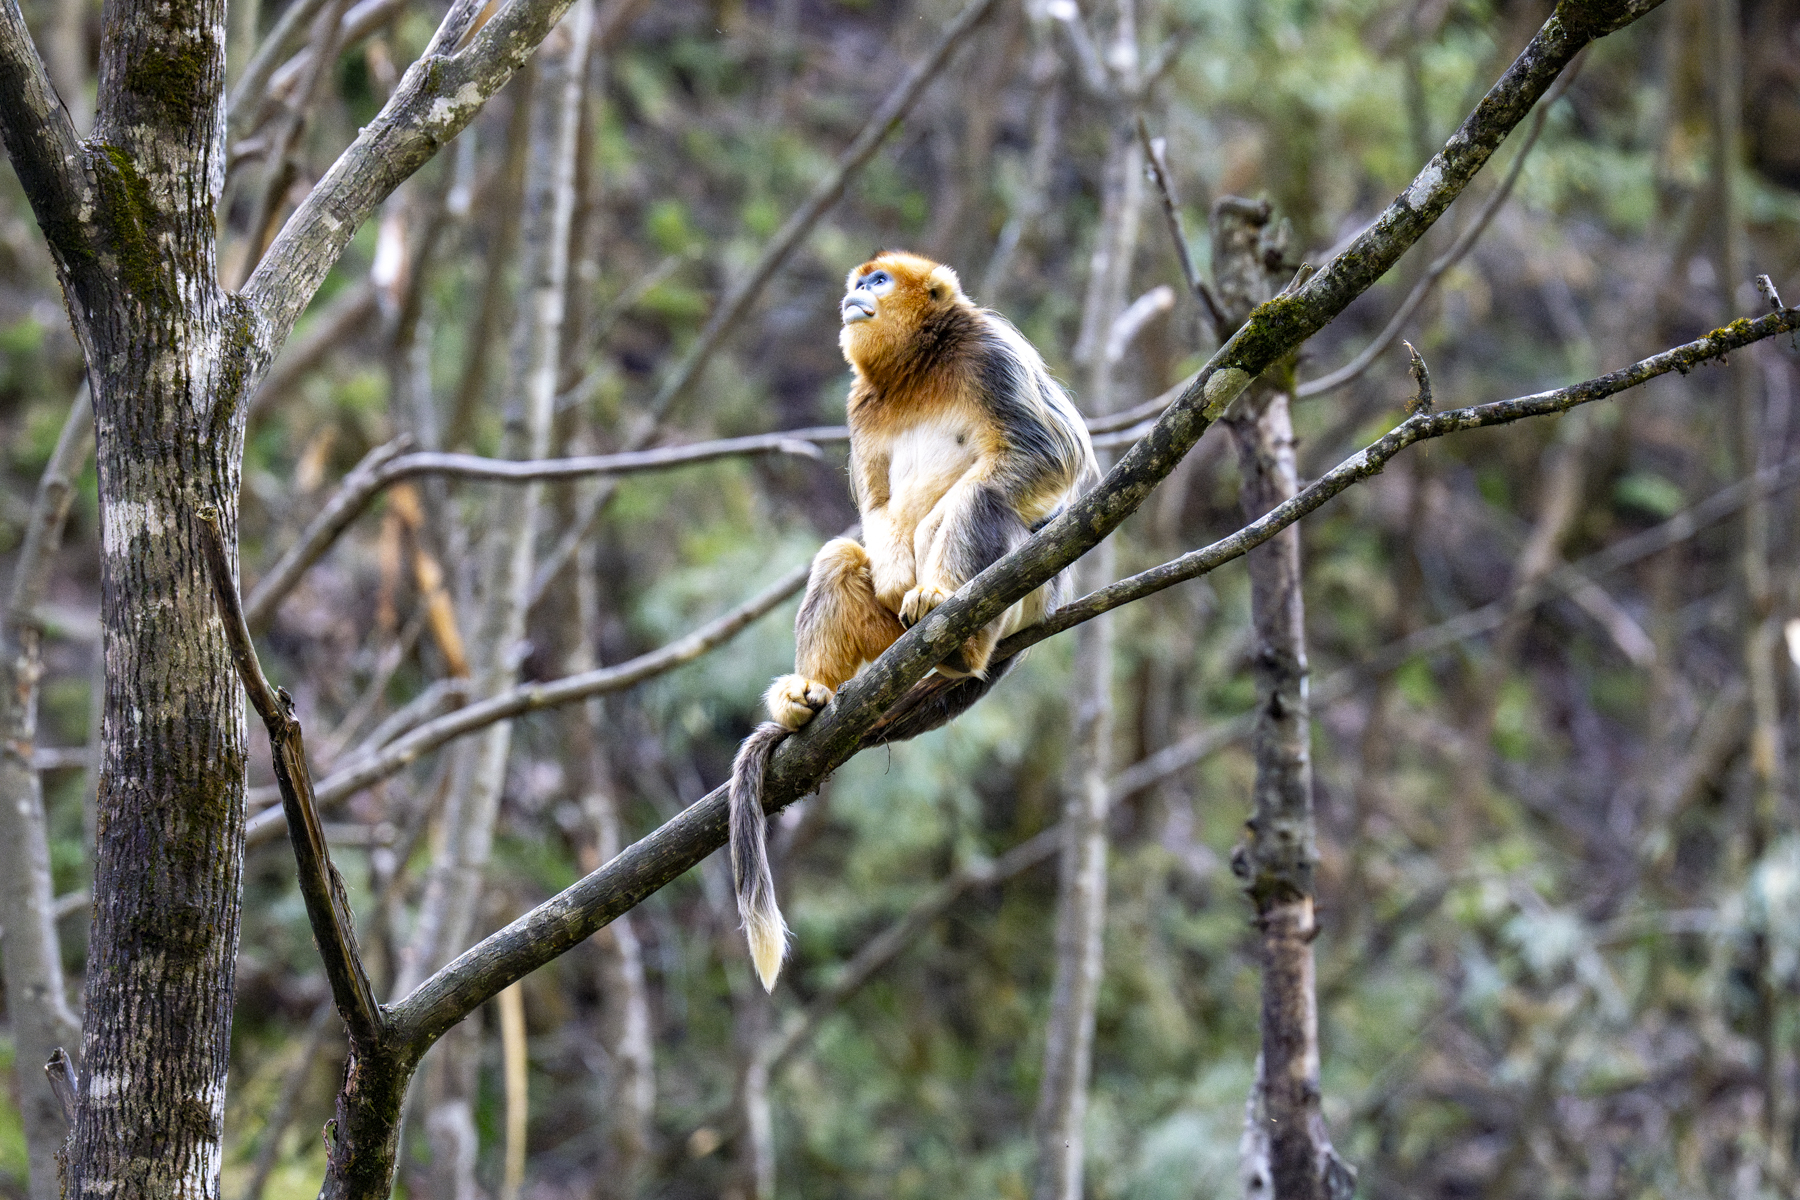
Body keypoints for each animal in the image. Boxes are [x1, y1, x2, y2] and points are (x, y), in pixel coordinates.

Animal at [730, 251, 1099, 990]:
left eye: (877, 281)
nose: (854, 294)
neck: (922, 368)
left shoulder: (993, 353)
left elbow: (1057, 454)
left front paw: (929, 549)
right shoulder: (862, 406)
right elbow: (875, 505)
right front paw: (894, 561)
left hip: (1025, 593)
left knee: (983, 500)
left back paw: (948, 621)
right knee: (842, 556)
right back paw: (807, 700)